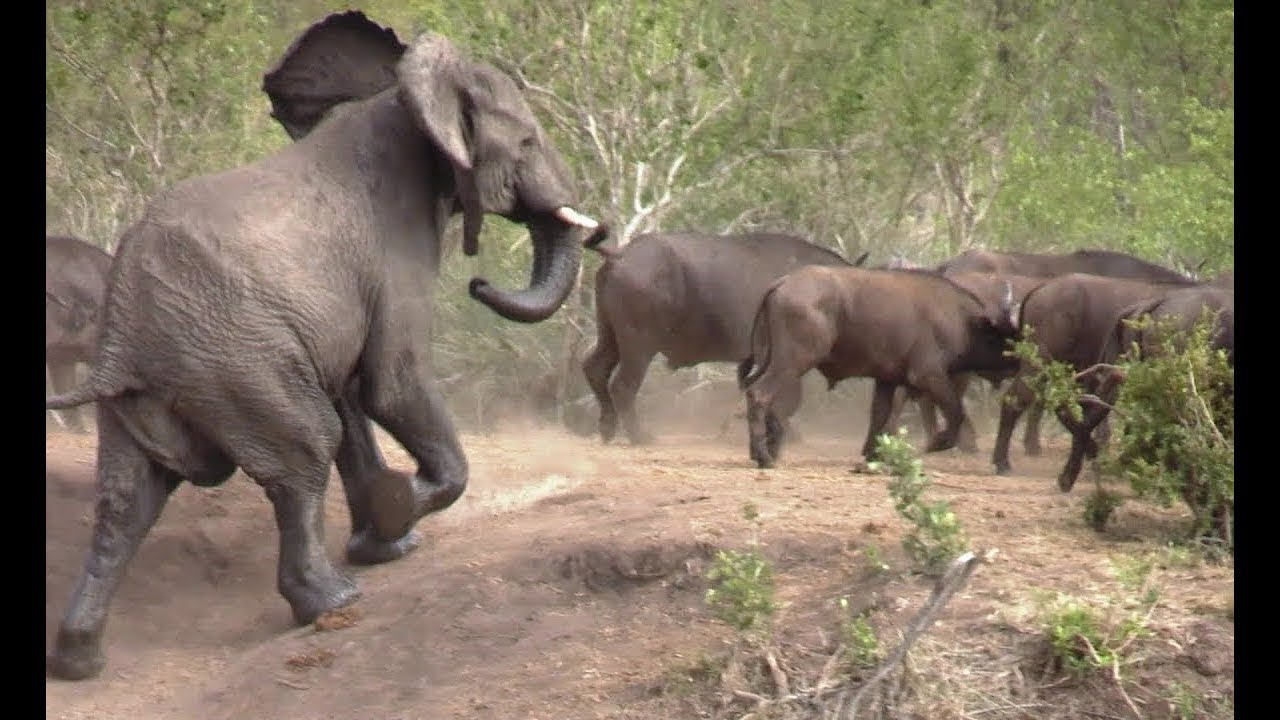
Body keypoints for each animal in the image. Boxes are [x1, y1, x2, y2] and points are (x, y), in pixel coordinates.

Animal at [582, 230, 863, 445]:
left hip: (609, 335)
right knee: (623, 386)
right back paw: (640, 436)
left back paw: (607, 429)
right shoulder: (779, 357)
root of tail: (620, 255)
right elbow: (785, 396)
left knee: (595, 369)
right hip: (639, 345)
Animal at [738, 267, 1020, 469]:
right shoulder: (929, 376)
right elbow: (955, 412)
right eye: (1006, 336)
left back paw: (760, 450)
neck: (961, 319)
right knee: (760, 394)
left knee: (752, 389)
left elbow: (879, 415)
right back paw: (764, 457)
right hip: (794, 361)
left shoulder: (887, 380)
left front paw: (873, 455)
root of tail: (782, 282)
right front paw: (937, 443)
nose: (1020, 361)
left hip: (770, 359)